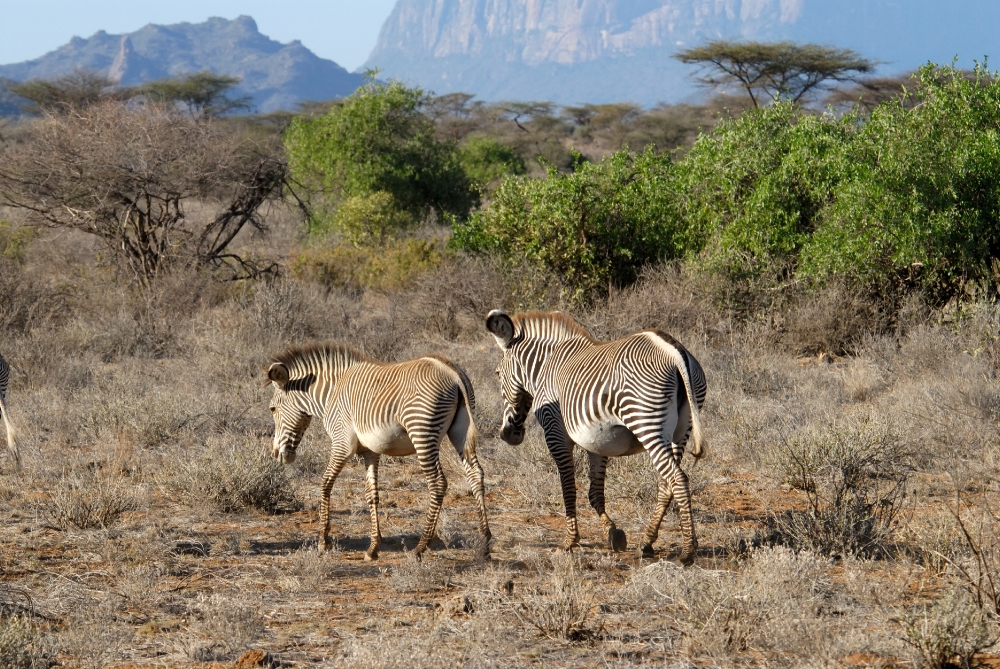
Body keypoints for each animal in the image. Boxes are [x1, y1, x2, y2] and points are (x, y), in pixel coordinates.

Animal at [265, 343, 491, 560]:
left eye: (272, 409)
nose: (277, 454)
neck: (331, 393)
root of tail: (451, 372)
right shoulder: (370, 450)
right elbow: (371, 493)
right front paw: (373, 547)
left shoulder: (342, 443)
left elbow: (325, 483)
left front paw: (323, 541)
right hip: (459, 431)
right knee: (475, 474)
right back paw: (485, 544)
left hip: (422, 431)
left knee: (438, 483)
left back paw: (420, 548)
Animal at [485, 310, 707, 564]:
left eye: (497, 374)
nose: (508, 435)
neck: (545, 366)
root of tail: (675, 350)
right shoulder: (597, 441)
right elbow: (595, 493)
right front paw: (613, 533)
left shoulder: (555, 432)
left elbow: (568, 487)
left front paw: (569, 542)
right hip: (682, 430)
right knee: (666, 483)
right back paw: (647, 543)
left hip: (647, 422)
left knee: (677, 478)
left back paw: (687, 551)